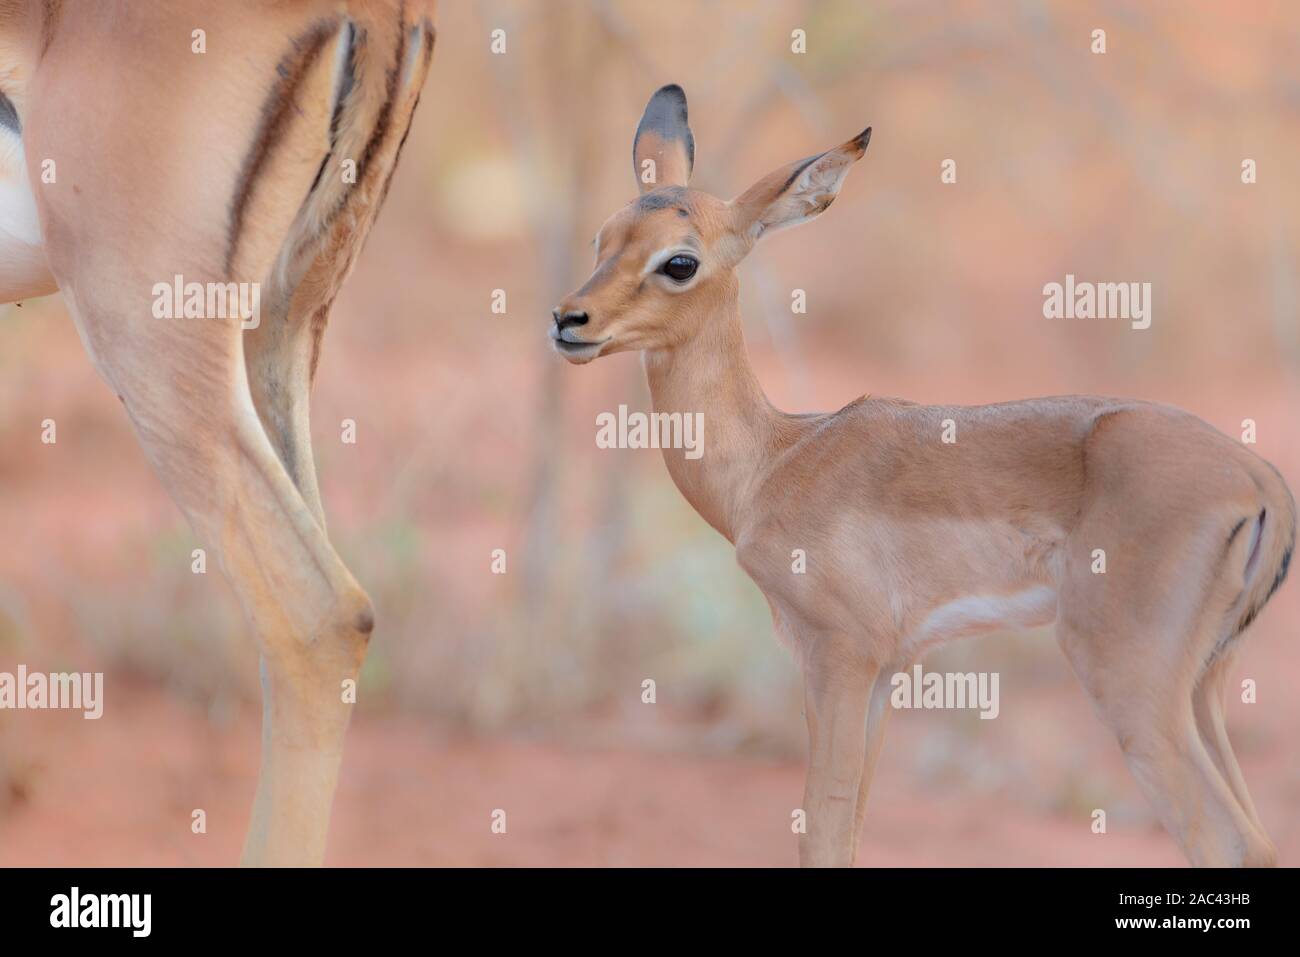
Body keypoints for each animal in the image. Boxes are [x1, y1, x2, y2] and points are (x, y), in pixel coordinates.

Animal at [552, 84, 1295, 867]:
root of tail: (1260, 479)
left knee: (1230, 840)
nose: (570, 320)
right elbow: (848, 831)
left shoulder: (839, 655)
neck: (776, 458)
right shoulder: (887, 670)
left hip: (1132, 685)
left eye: (679, 262)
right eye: (604, 237)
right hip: (1205, 686)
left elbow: (821, 831)